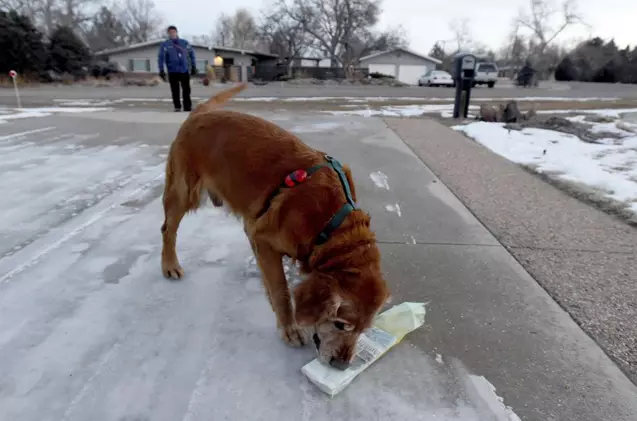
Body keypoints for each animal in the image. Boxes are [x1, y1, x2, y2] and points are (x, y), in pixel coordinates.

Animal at [160, 83, 388, 368]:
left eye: (363, 330)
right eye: (339, 324)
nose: (342, 365)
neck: (330, 225)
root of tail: (198, 113)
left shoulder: (256, 231)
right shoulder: (264, 240)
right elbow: (281, 291)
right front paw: (289, 327)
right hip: (184, 192)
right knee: (168, 229)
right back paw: (169, 265)